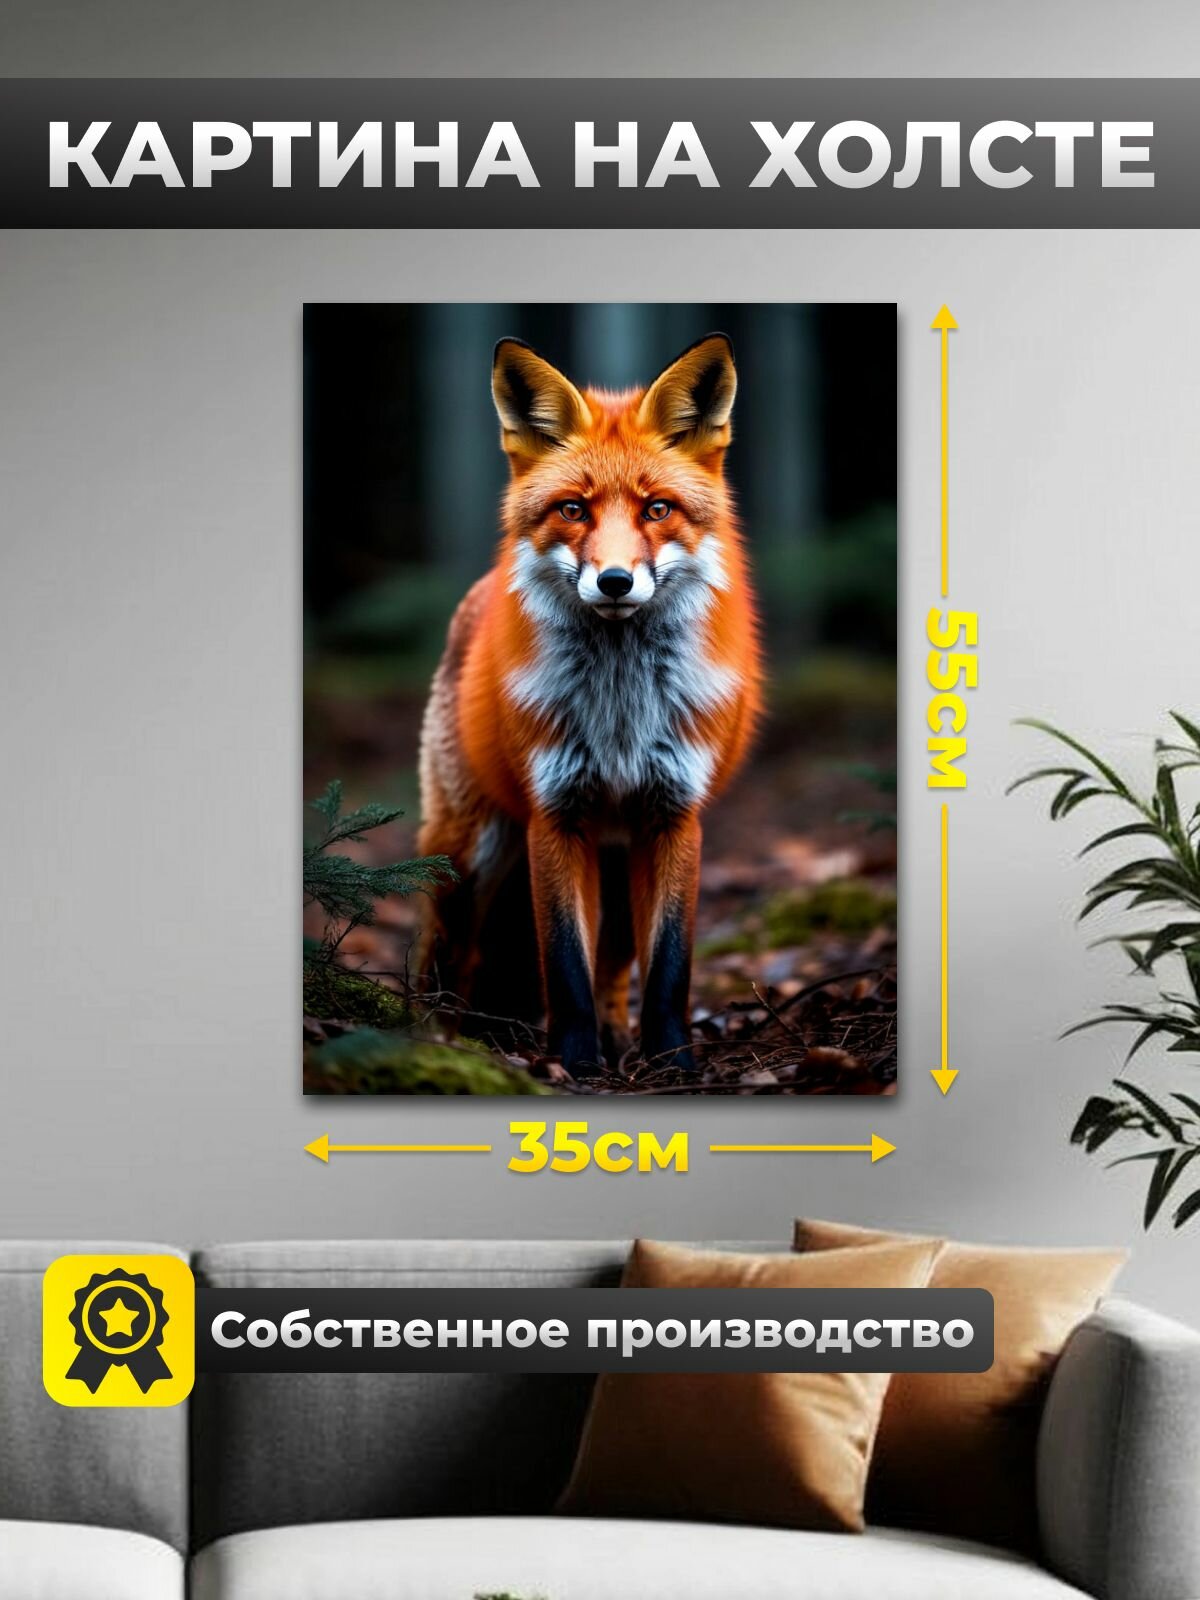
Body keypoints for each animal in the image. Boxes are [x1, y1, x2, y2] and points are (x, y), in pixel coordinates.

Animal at [417, 332, 762, 1076]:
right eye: (573, 509)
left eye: (657, 509)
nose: (615, 581)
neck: (620, 716)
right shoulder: (556, 815)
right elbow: (564, 964)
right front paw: (572, 1065)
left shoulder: (673, 818)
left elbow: (668, 968)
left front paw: (671, 1062)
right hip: (469, 853)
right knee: (447, 953)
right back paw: (431, 1037)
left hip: (617, 855)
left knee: (614, 968)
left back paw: (616, 1035)